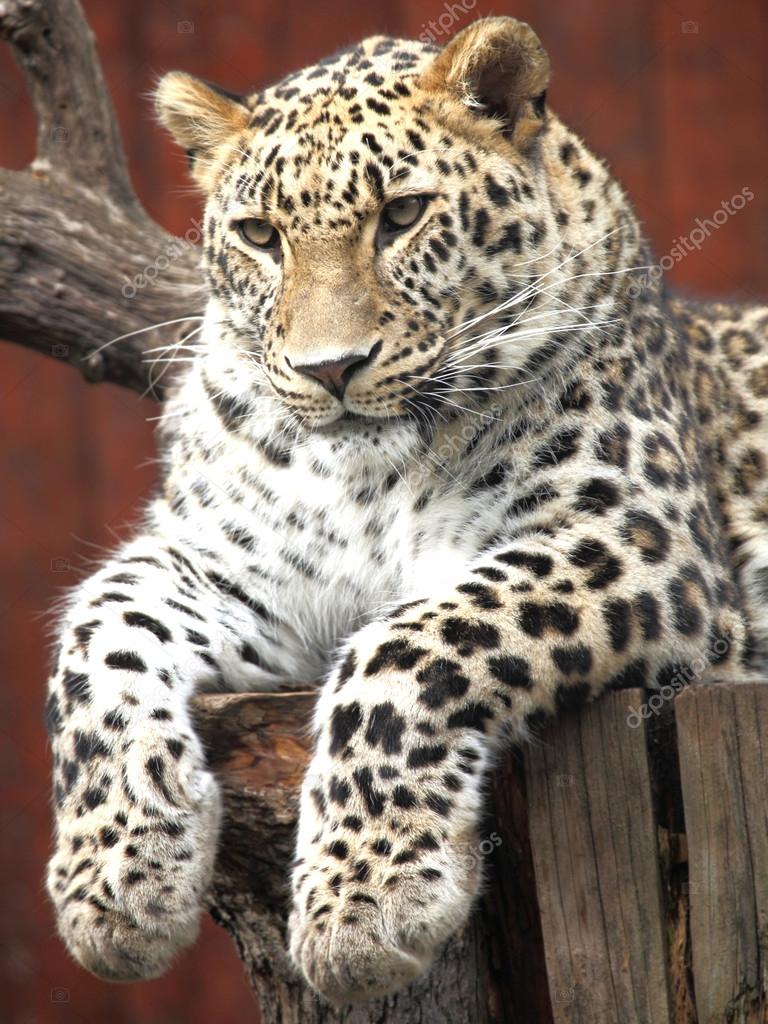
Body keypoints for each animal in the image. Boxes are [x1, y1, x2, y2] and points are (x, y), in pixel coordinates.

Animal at [42, 16, 768, 1006]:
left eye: (402, 215)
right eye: (261, 235)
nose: (328, 369)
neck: (368, 482)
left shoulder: (639, 539)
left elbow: (410, 642)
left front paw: (364, 902)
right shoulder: (238, 571)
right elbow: (98, 632)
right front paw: (116, 879)